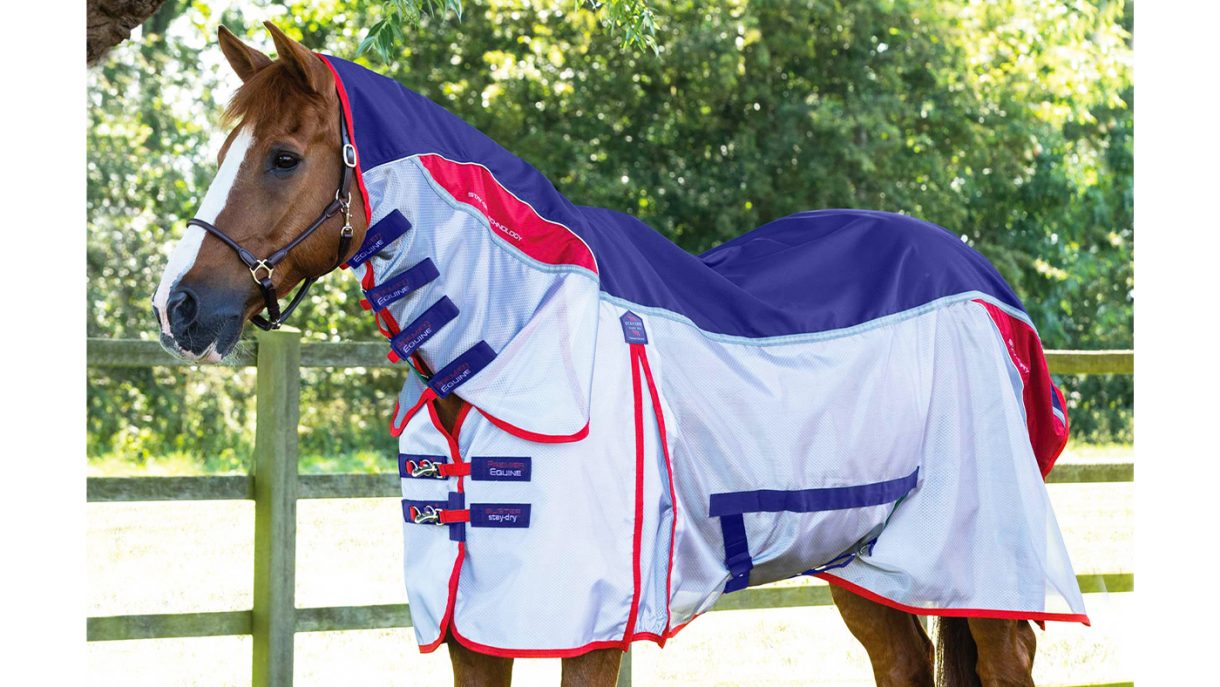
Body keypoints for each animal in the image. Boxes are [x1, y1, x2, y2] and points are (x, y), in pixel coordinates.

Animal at [153, 23, 1085, 687]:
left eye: (283, 158)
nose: (180, 305)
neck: (518, 338)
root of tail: (984, 283)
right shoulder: (473, 630)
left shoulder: (584, 627)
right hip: (864, 562)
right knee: (900, 660)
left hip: (980, 562)